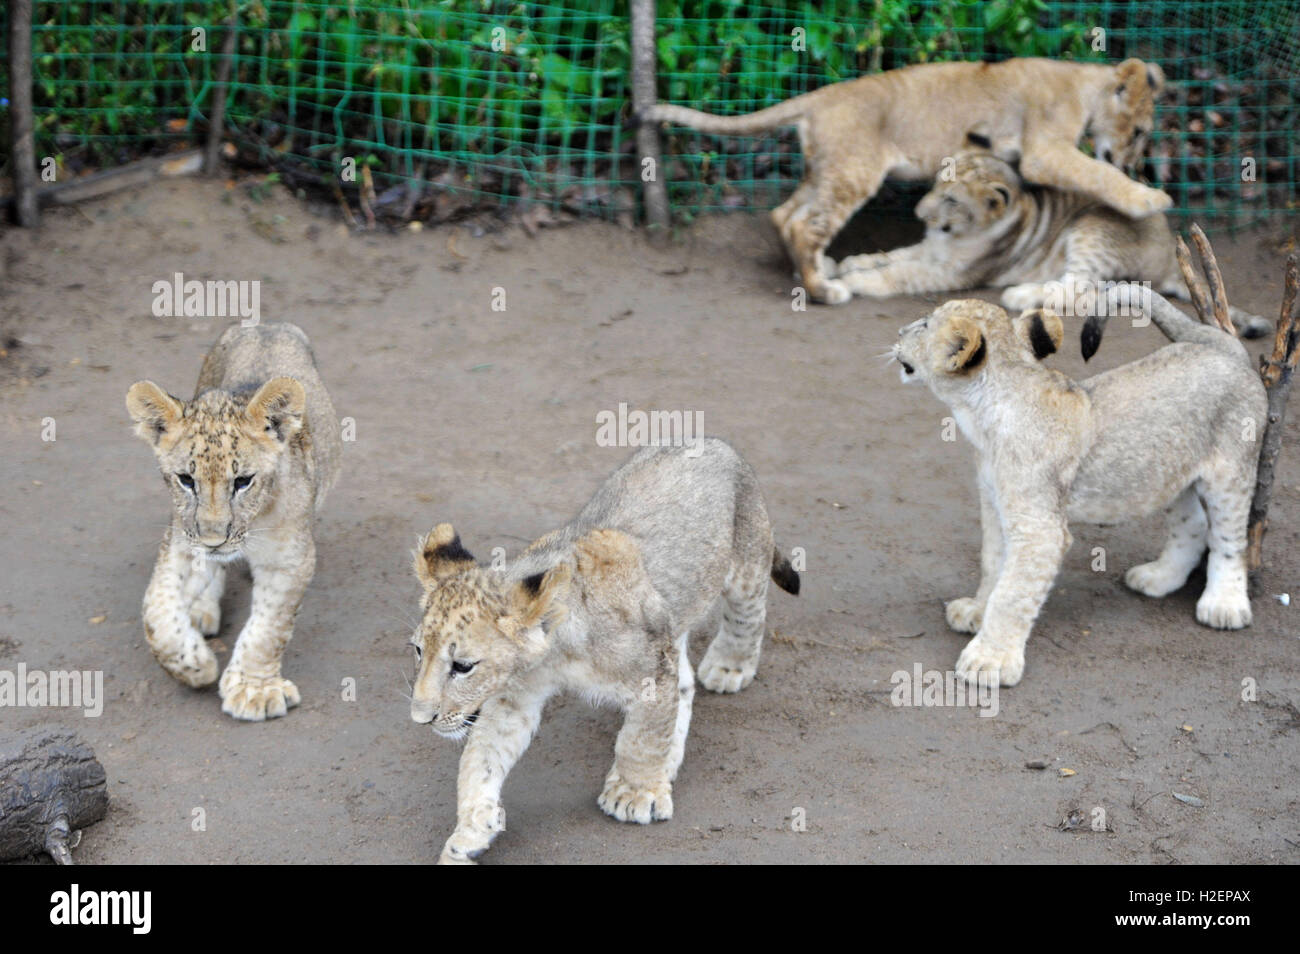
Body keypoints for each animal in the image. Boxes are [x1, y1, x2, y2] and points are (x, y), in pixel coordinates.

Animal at [126, 322, 341, 720]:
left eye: (243, 481)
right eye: (186, 480)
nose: (214, 541)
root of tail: (267, 324)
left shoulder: (291, 557)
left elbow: (268, 629)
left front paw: (254, 691)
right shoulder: (181, 538)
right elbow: (156, 610)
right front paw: (192, 664)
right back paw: (199, 611)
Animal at [407, 439, 800, 864]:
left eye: (463, 666)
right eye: (417, 651)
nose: (420, 719)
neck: (555, 655)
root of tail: (711, 440)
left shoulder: (650, 669)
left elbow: (641, 737)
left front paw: (635, 793)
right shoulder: (515, 698)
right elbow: (480, 758)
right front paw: (469, 832)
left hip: (746, 565)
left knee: (747, 615)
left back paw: (729, 666)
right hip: (667, 617)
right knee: (684, 681)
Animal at [642, 57, 1168, 305]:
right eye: (1140, 131)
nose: (1134, 163)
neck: (1083, 86)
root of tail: (819, 96)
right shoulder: (1045, 150)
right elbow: (1094, 171)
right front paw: (1148, 199)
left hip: (828, 169)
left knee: (786, 214)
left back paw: (814, 271)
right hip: (853, 172)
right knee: (804, 224)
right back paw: (824, 291)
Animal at [836, 144, 1270, 342]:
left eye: (952, 199)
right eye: (934, 187)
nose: (919, 213)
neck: (950, 233)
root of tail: (1168, 259)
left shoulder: (952, 272)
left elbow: (900, 273)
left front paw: (855, 281)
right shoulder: (930, 249)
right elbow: (894, 255)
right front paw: (853, 263)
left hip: (1091, 227)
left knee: (1083, 290)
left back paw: (1020, 294)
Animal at [891, 295, 1265, 687]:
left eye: (924, 325)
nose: (898, 332)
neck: (983, 420)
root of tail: (1224, 347)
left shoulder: (1039, 527)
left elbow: (1012, 592)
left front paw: (989, 659)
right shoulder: (995, 505)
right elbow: (993, 564)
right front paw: (977, 610)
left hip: (1230, 473)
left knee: (1228, 539)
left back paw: (1224, 604)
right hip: (1172, 474)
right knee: (1193, 525)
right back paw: (1159, 577)